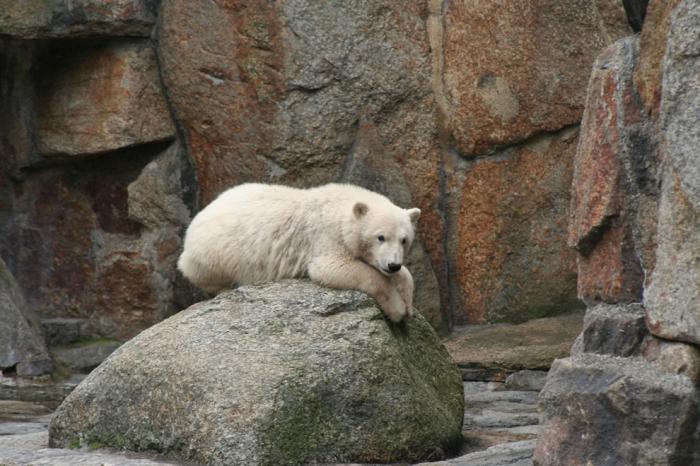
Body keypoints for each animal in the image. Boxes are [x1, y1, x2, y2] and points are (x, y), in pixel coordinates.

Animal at [180, 182, 422, 320]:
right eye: (380, 237)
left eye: (404, 240)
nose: (393, 265)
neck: (340, 207)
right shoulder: (325, 237)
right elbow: (333, 268)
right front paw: (397, 309)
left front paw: (408, 299)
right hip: (214, 252)